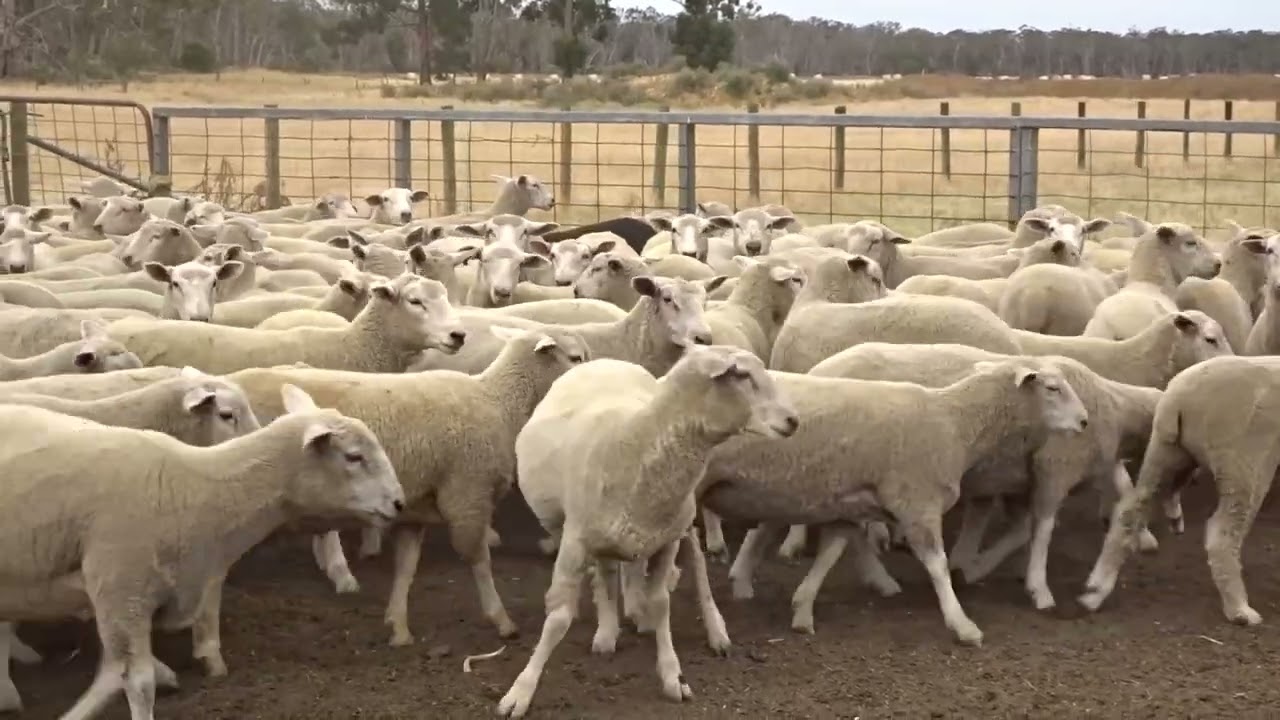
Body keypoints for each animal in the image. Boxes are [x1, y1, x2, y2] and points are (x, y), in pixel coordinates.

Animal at [0, 384, 404, 720]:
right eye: (353, 457)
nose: (399, 503)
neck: (197, 486)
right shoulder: (120, 589)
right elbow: (135, 681)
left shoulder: (130, 596)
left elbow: (110, 675)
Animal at [225, 325, 589, 643]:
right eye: (575, 357)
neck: (498, 401)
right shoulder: (467, 496)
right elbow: (480, 562)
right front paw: (501, 620)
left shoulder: (414, 510)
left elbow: (405, 569)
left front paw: (397, 625)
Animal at [500, 344, 799, 718]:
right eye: (741, 375)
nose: (794, 420)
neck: (635, 444)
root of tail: (606, 361)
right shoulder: (575, 541)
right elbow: (557, 619)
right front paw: (520, 691)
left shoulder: (667, 541)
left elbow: (661, 604)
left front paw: (672, 675)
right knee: (608, 570)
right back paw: (609, 628)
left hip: (682, 521)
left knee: (695, 565)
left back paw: (711, 628)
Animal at [693, 358, 1088, 648]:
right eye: (1053, 388)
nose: (1084, 421)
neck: (955, 422)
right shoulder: (918, 502)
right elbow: (938, 566)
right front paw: (961, 624)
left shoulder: (848, 501)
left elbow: (830, 553)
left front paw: (803, 609)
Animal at [1080, 355, 1280, 627]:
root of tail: (1178, 398)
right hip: (1245, 461)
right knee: (1222, 534)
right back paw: (1239, 610)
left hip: (1165, 452)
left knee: (1130, 512)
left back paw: (1096, 591)